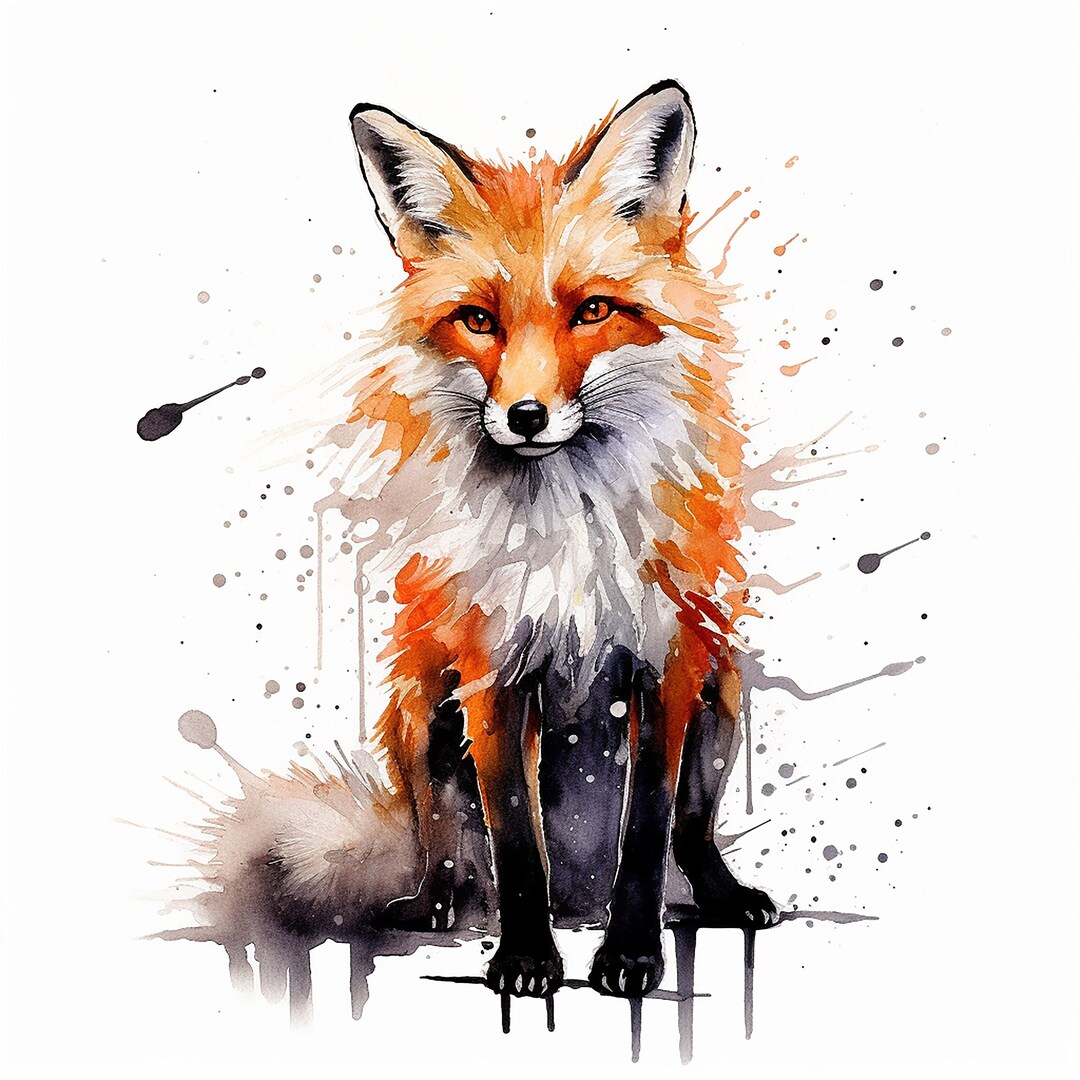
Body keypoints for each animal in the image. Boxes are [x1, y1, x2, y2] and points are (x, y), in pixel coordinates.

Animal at [336, 80, 778, 1001]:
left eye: (594, 311)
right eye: (477, 320)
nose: (527, 416)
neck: (568, 527)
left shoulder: (666, 668)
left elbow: (646, 835)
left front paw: (632, 957)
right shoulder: (492, 675)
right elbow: (514, 841)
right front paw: (527, 959)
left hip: (723, 691)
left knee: (691, 836)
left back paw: (721, 896)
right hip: (418, 713)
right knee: (447, 846)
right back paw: (433, 904)